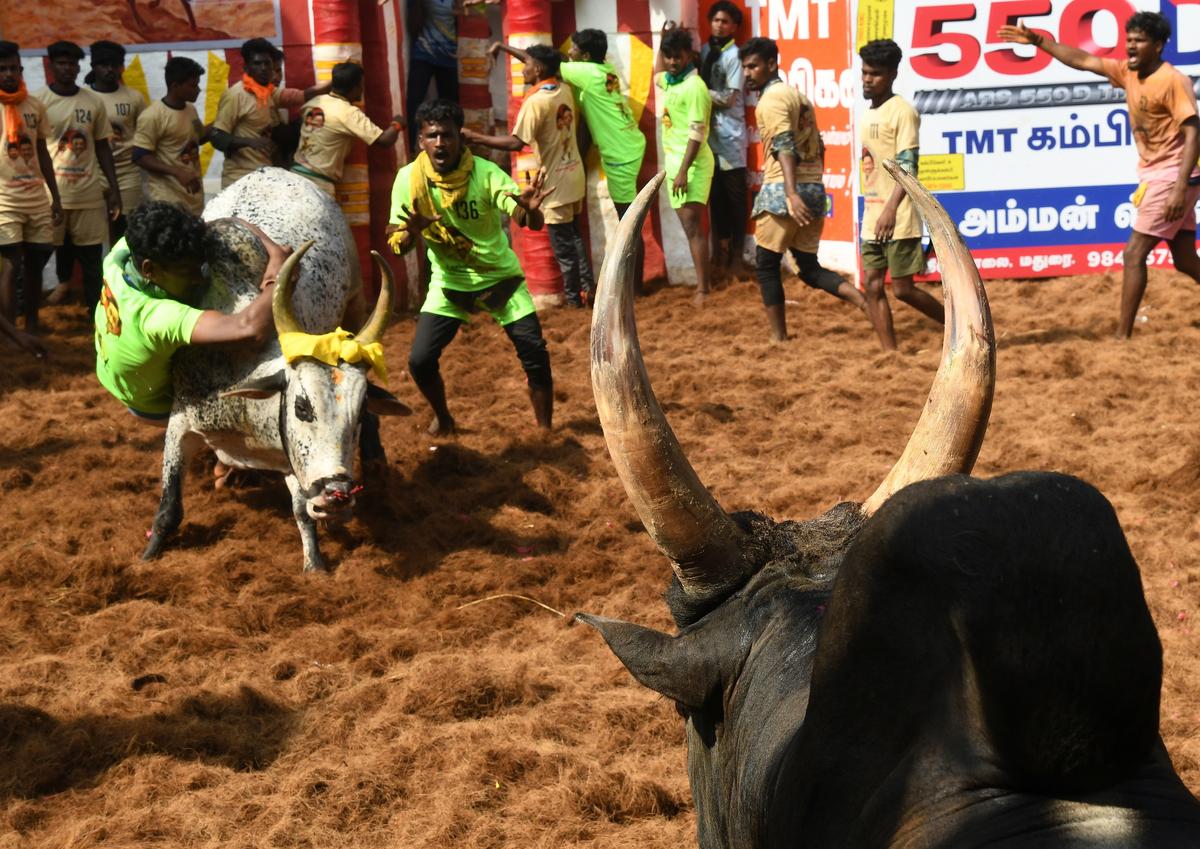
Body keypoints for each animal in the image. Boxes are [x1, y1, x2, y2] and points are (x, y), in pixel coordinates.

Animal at [141, 168, 410, 573]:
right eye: (301, 406)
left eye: (361, 409)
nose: (336, 497)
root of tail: (275, 171)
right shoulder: (181, 423)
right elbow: (169, 507)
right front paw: (148, 554)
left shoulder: (292, 463)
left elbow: (301, 513)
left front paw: (315, 565)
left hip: (355, 304)